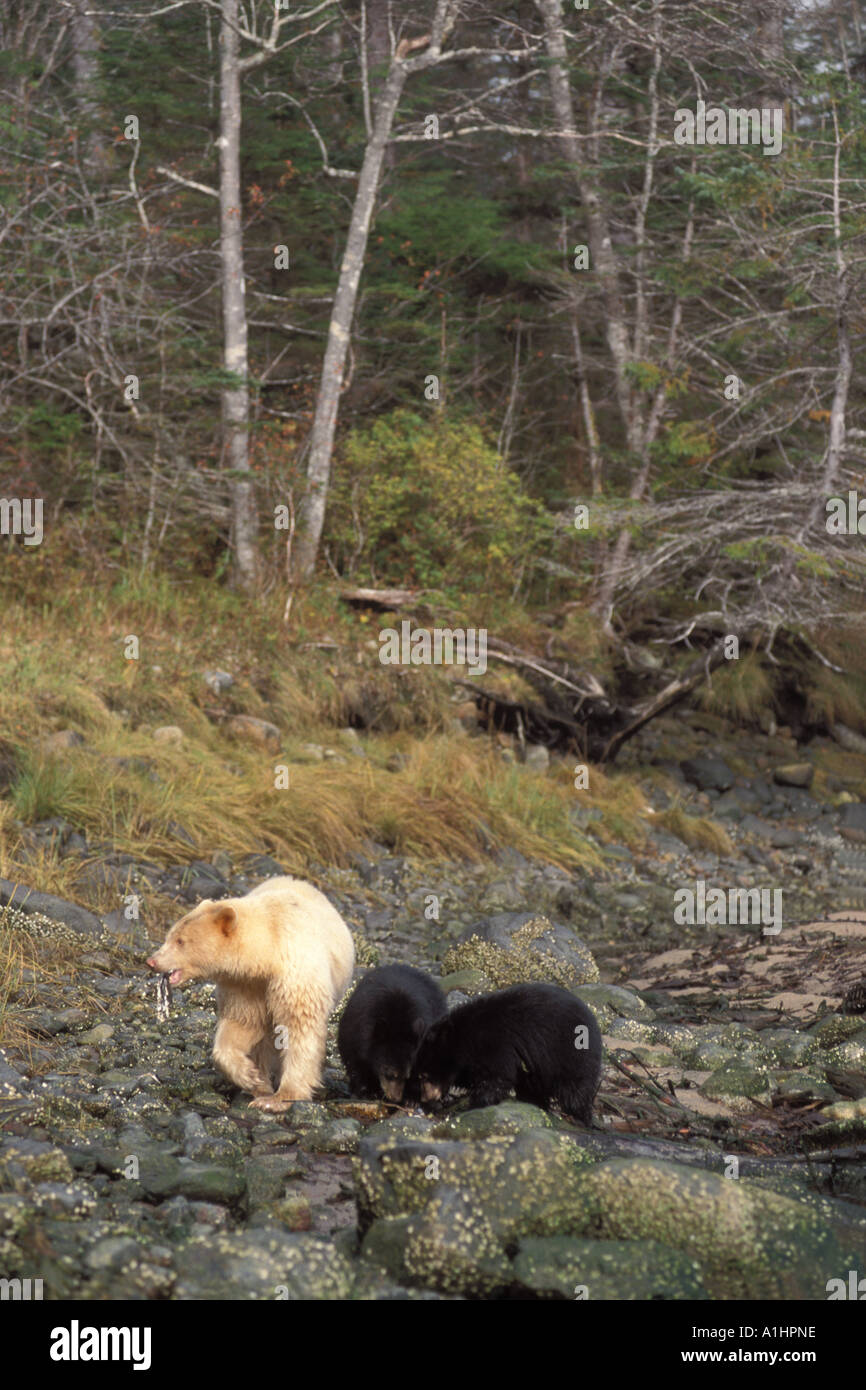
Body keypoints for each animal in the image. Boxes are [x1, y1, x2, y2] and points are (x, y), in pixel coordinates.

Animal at [146, 876, 354, 1112]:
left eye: (180, 941)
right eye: (169, 936)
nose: (152, 961)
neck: (268, 954)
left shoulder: (295, 973)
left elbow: (300, 1027)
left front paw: (280, 1098)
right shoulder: (243, 986)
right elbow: (242, 1023)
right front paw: (251, 1078)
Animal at [337, 964, 447, 1102]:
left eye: (406, 1076)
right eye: (389, 1074)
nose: (396, 1099)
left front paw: (411, 1098)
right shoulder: (355, 1034)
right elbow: (356, 1062)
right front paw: (367, 1091)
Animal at [409, 982, 602, 1124]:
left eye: (425, 1074)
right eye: (419, 1075)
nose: (425, 1098)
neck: (465, 1036)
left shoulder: (495, 1046)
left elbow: (496, 1078)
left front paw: (472, 1105)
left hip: (571, 1055)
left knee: (575, 1091)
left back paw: (582, 1118)